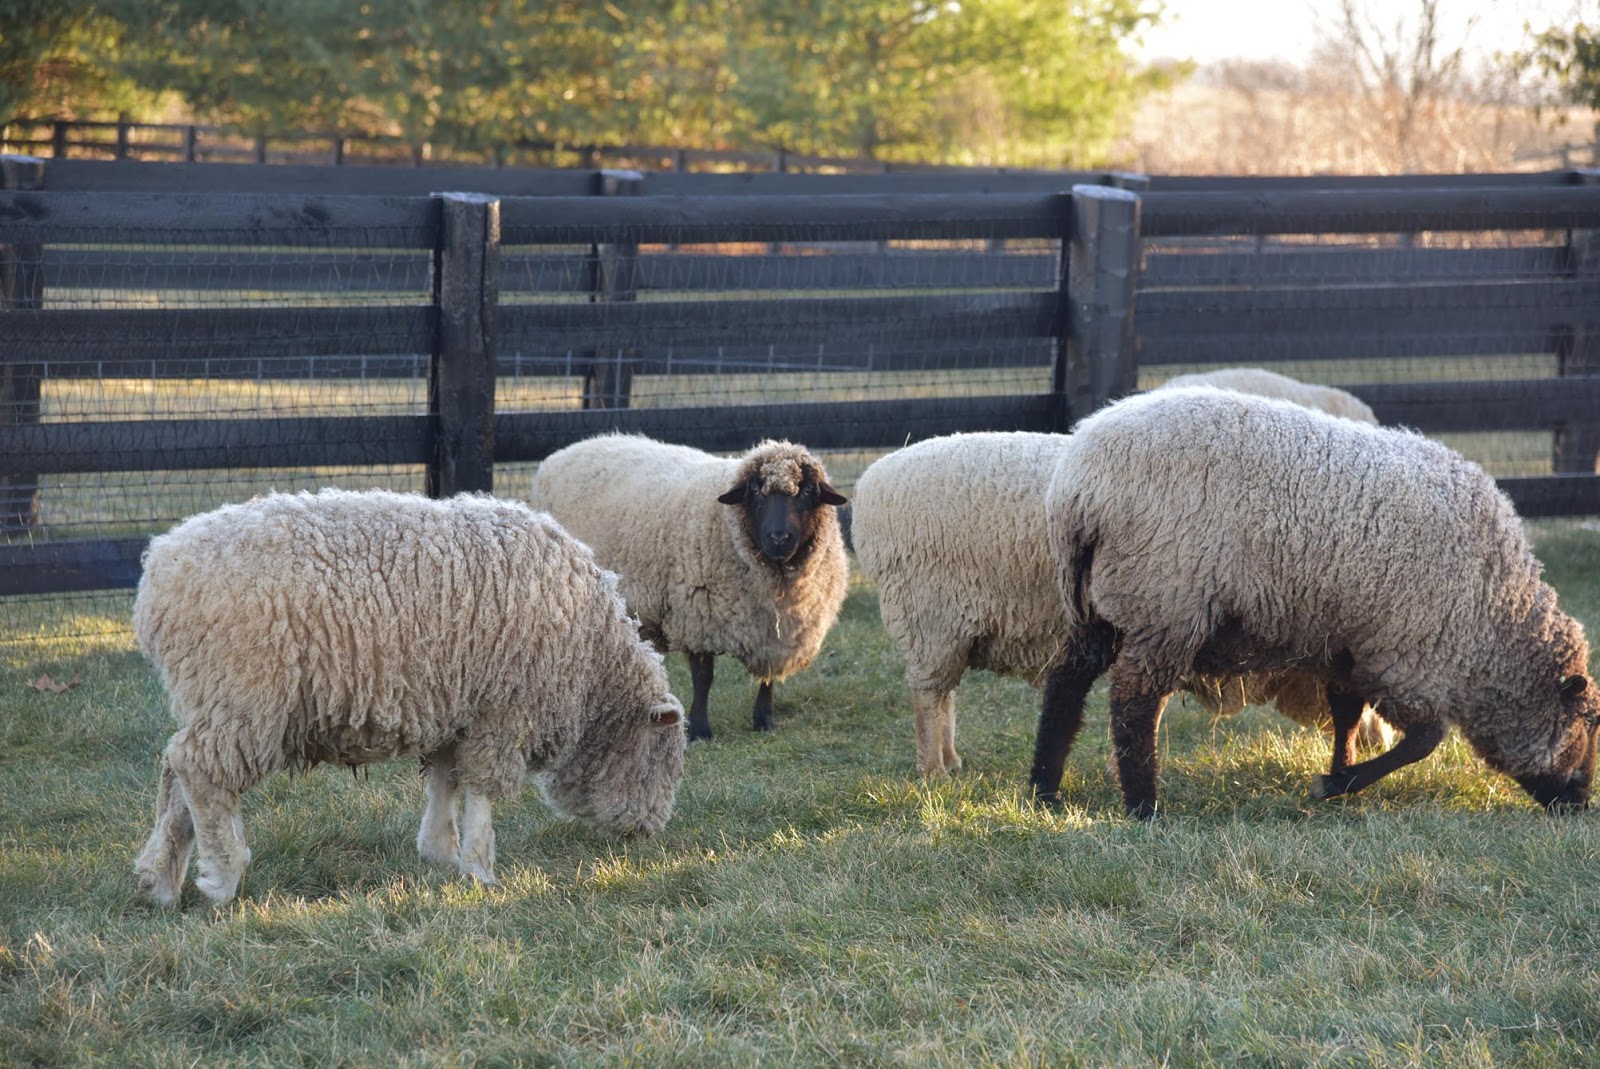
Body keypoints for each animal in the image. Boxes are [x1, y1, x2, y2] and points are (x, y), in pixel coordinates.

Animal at [132, 489, 687, 907]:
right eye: (661, 760)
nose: (649, 832)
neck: (592, 657)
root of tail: (160, 571)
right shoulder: (504, 711)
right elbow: (483, 789)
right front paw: (480, 868)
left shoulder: (454, 706)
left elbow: (444, 777)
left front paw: (440, 850)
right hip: (246, 695)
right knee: (201, 772)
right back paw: (222, 877)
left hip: (213, 697)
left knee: (176, 772)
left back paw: (160, 880)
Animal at [529, 434, 849, 741]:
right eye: (756, 491)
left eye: (806, 492)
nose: (779, 537)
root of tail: (566, 451)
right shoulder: (696, 614)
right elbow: (703, 677)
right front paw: (699, 729)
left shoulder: (772, 632)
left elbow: (767, 677)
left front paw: (764, 720)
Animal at [851, 429, 1391, 780]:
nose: (1378, 742)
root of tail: (872, 480)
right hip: (930, 617)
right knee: (929, 696)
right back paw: (935, 770)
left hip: (946, 627)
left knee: (944, 694)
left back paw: (951, 760)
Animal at [1039, 387, 1599, 817]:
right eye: (1588, 725)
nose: (1579, 806)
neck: (1493, 616)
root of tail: (1080, 485)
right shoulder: (1409, 654)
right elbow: (1425, 739)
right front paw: (1335, 784)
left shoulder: (1349, 644)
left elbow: (1348, 714)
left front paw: (1340, 774)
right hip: (1168, 596)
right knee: (1134, 704)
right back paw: (1143, 806)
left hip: (1098, 600)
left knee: (1067, 682)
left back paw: (1044, 788)